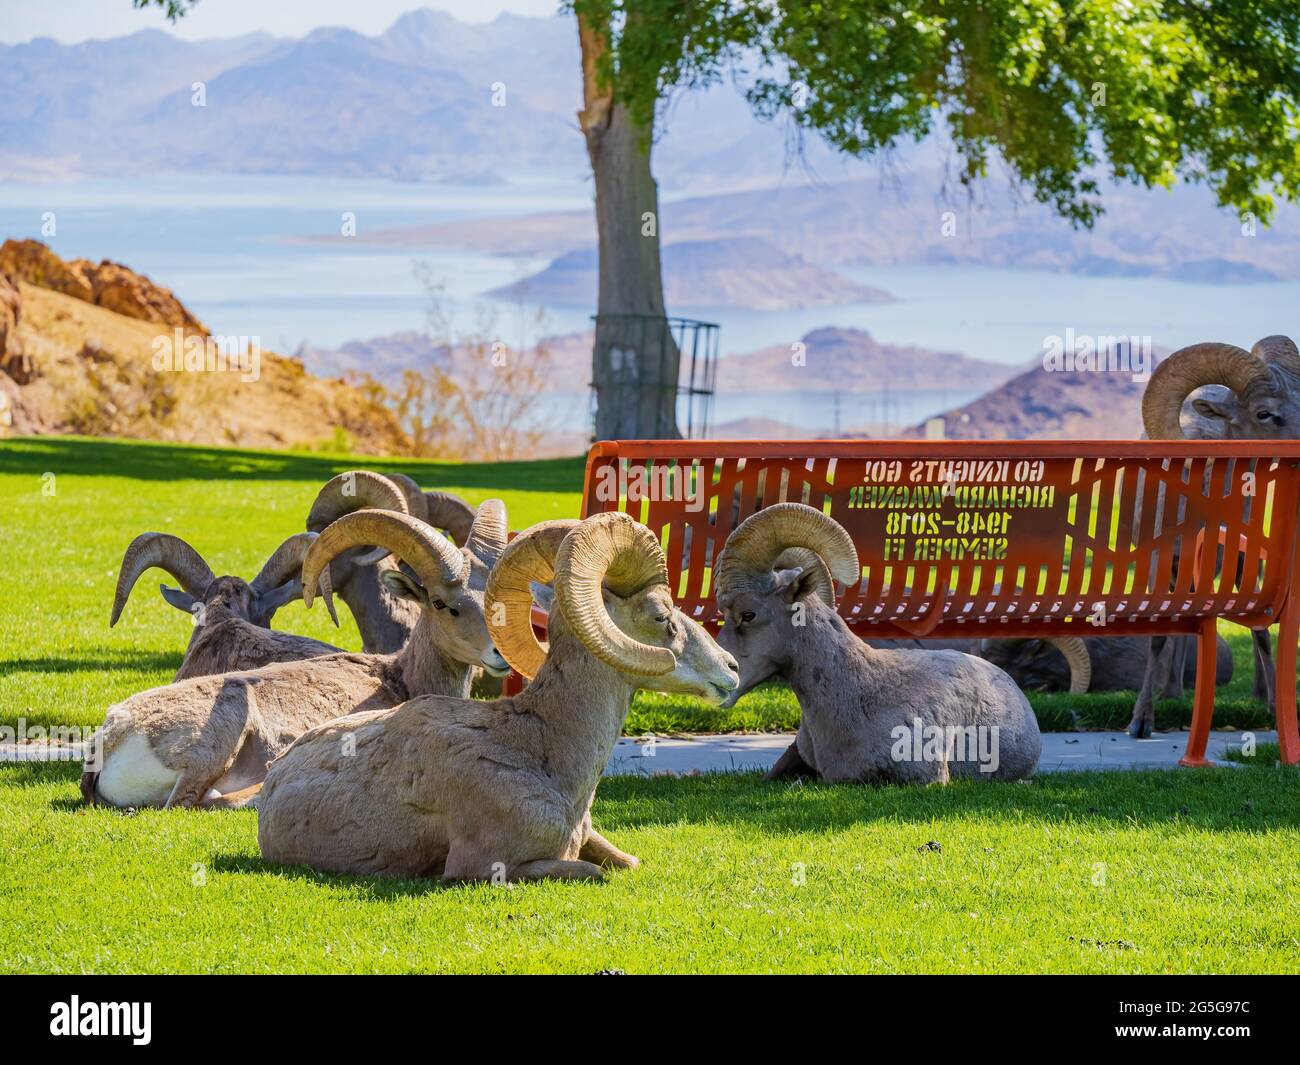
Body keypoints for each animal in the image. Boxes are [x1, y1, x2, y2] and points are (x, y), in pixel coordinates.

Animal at [255, 512, 741, 883]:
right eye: (661, 615)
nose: (732, 669)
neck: (540, 755)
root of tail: (275, 779)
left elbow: (628, 863)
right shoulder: (484, 868)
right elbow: (595, 873)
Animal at [1128, 336, 1298, 736]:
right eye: (1264, 413)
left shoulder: (1242, 564)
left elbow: (1262, 632)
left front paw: (1272, 707)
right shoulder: (1162, 564)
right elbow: (1159, 636)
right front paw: (1142, 722)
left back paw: (1254, 693)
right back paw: (1171, 692)